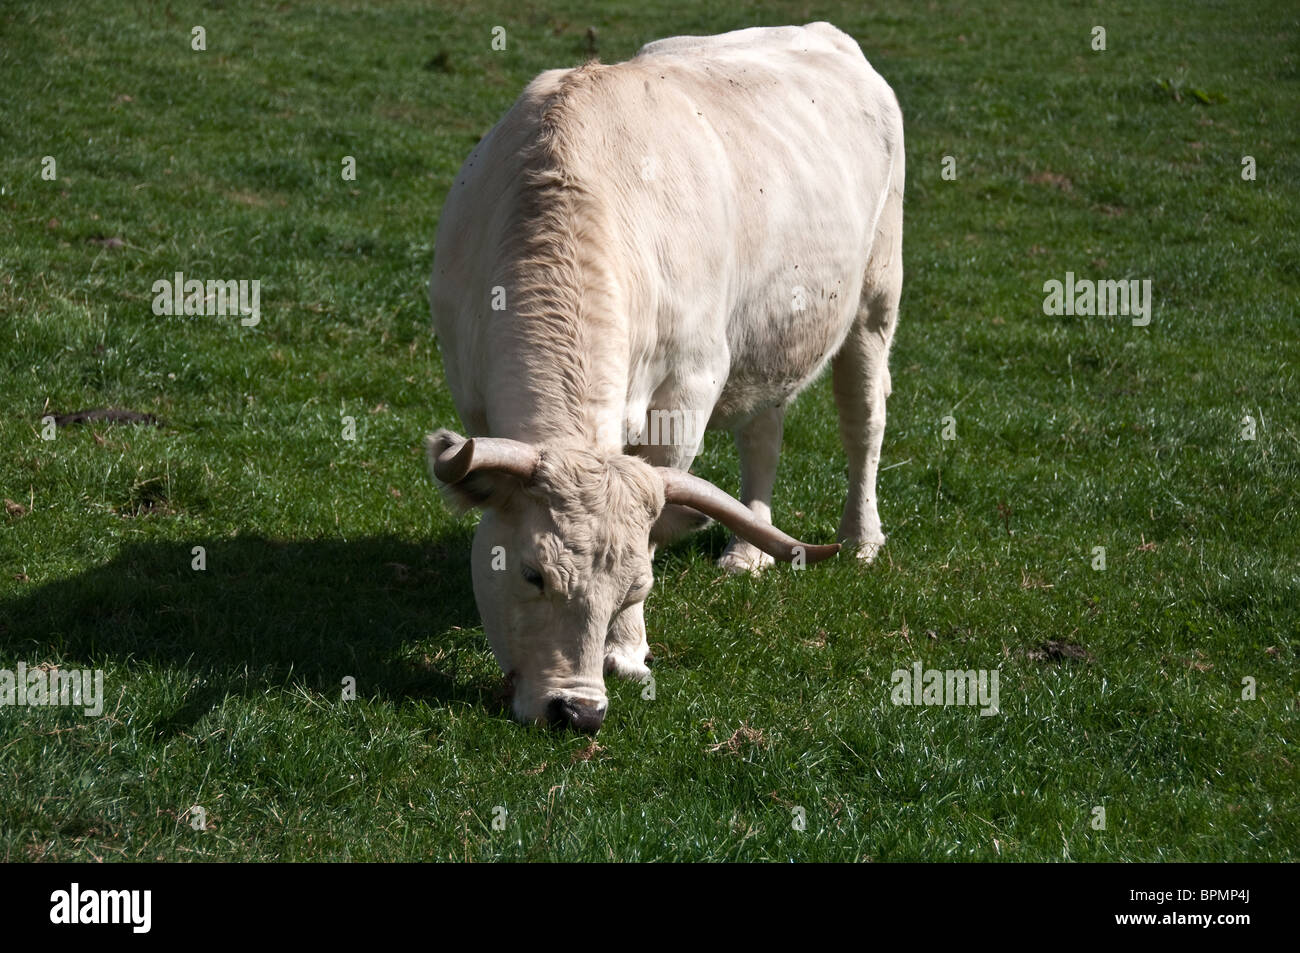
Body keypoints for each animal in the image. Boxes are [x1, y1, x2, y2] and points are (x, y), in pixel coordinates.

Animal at [427, 22, 904, 732]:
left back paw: (860, 538)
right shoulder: (474, 393)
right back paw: (747, 551)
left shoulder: (687, 390)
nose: (579, 711)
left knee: (863, 424)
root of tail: (824, 34)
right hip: (769, 334)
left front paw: (627, 650)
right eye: (533, 574)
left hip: (875, 300)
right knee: (764, 434)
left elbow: (657, 520)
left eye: (637, 588)